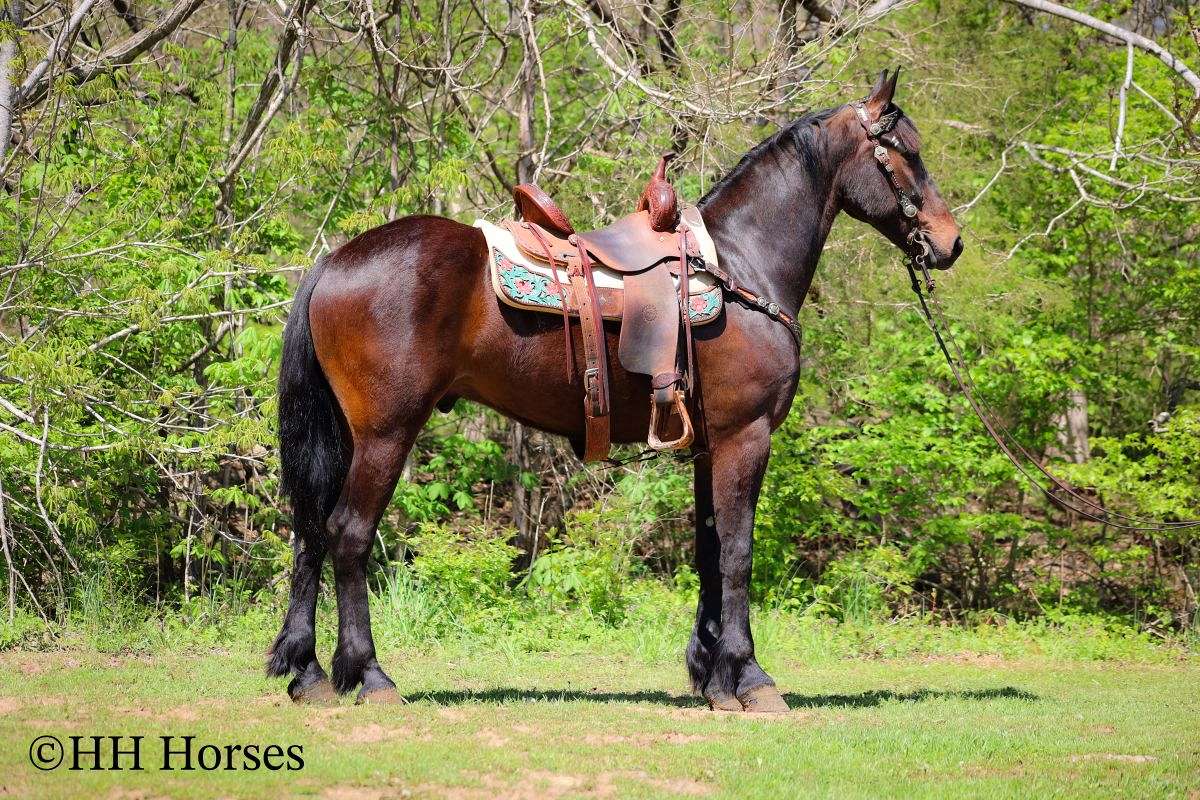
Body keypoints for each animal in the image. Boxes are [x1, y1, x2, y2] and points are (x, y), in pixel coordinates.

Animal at [266, 69, 963, 712]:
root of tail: (335, 261)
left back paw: (309, 673)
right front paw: (751, 678)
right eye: (904, 151)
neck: (740, 268)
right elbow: (738, 553)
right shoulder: (746, 437)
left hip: (346, 436)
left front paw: (713, 678)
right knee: (349, 534)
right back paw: (370, 675)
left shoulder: (709, 447)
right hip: (386, 434)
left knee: (309, 530)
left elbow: (709, 549)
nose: (951, 242)